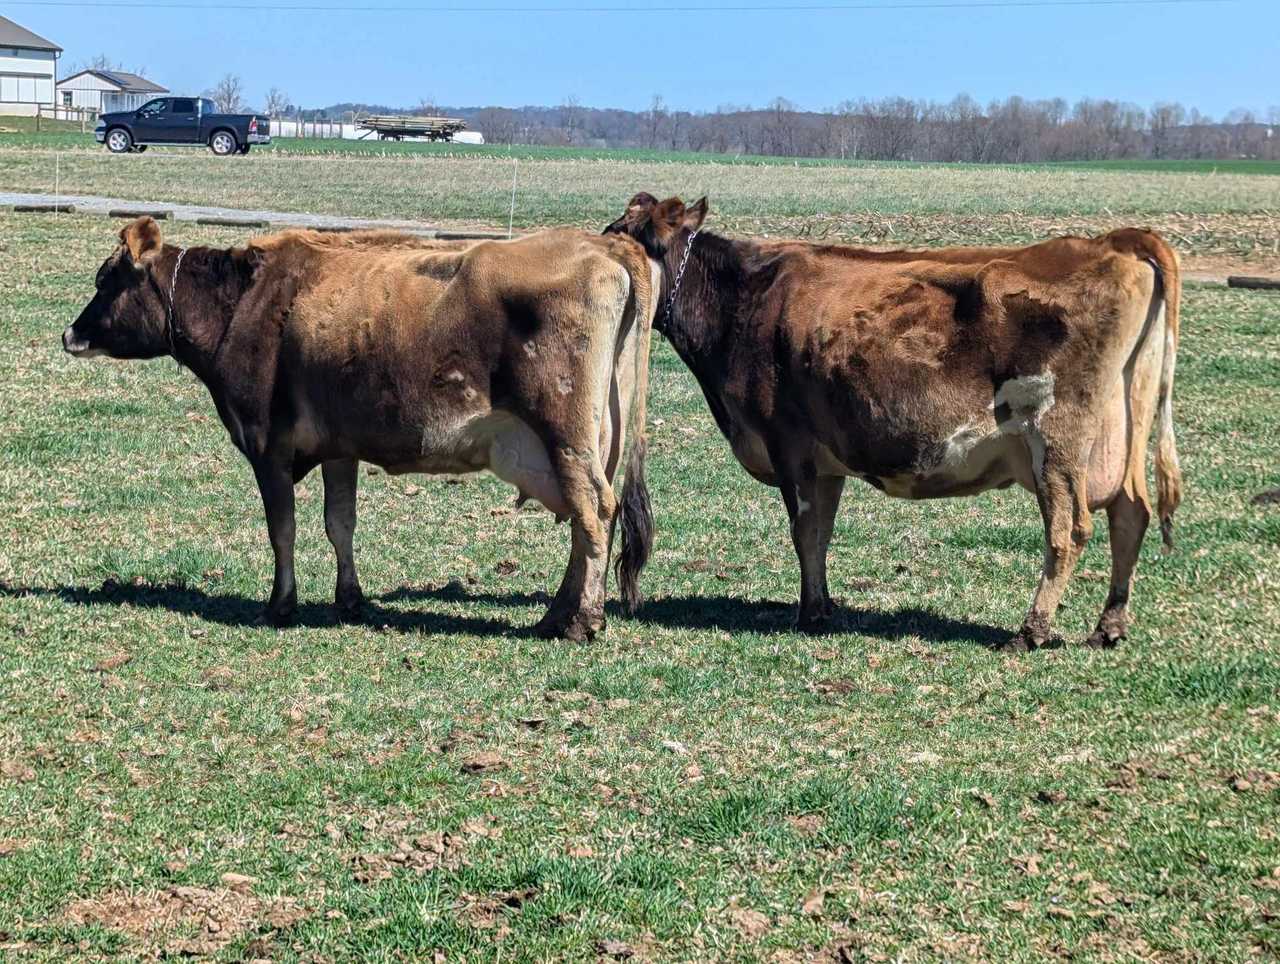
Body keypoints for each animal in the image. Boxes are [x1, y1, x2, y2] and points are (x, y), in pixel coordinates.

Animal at [63, 217, 658, 640]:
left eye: (105, 280)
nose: (70, 334)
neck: (245, 303)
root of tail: (603, 245)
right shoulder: (338, 446)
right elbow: (339, 523)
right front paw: (349, 599)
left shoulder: (268, 443)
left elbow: (283, 529)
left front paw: (280, 605)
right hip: (596, 439)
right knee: (590, 521)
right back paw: (558, 614)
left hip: (565, 436)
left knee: (592, 511)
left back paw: (581, 621)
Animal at [605, 194, 1182, 652]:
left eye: (627, 235)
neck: (742, 301)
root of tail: (1112, 241)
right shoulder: (824, 459)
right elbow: (822, 532)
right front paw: (823, 608)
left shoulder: (788, 444)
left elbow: (804, 530)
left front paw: (808, 614)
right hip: (1123, 429)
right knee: (1131, 514)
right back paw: (1109, 626)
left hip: (1057, 439)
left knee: (1070, 529)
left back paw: (1032, 630)